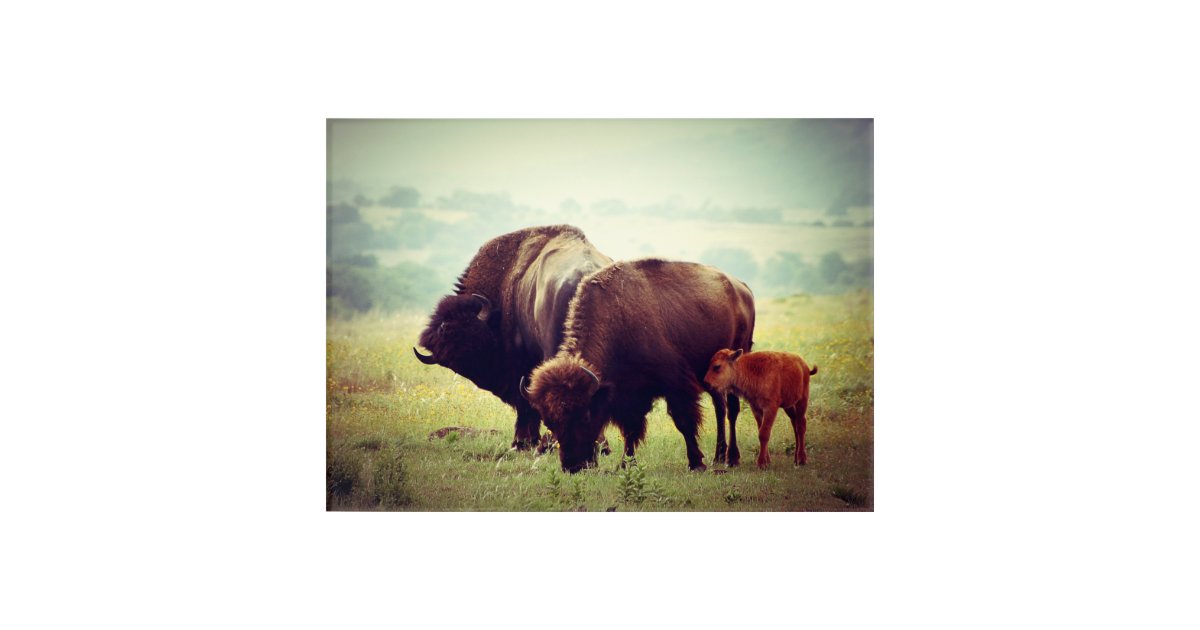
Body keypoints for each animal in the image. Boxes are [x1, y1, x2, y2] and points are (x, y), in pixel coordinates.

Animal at [522, 259, 756, 473]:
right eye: (549, 422)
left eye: (584, 415)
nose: (573, 466)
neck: (617, 321)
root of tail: (743, 288)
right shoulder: (629, 395)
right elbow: (631, 429)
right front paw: (626, 464)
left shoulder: (675, 384)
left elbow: (683, 421)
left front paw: (696, 463)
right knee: (720, 406)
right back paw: (719, 456)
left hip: (736, 360)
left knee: (731, 409)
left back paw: (731, 458)